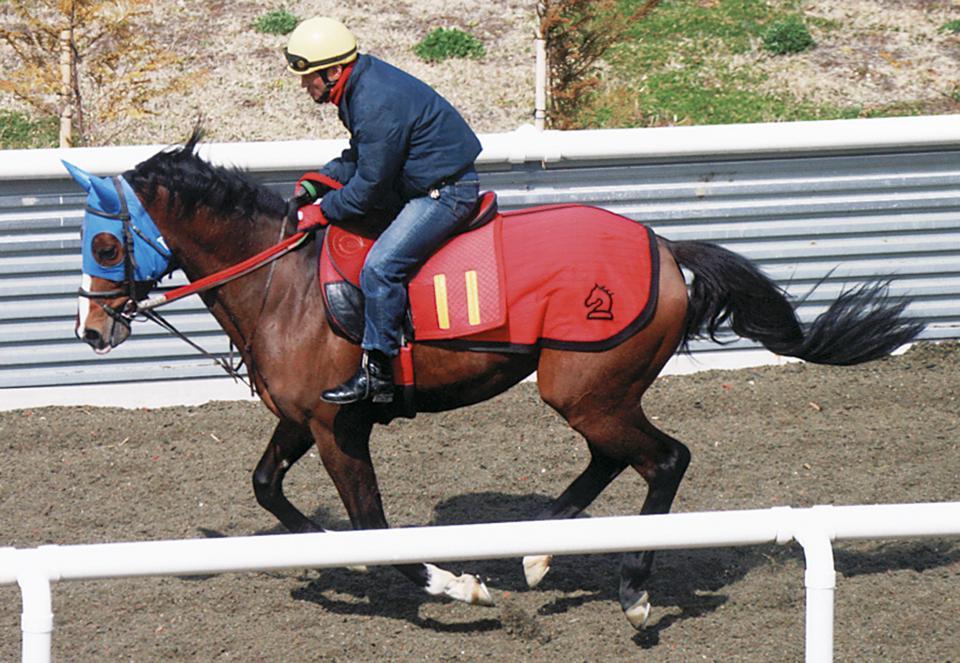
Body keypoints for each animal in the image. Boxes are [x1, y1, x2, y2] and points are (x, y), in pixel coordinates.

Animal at [66, 130, 924, 628]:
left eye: (105, 244)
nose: (90, 330)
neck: (284, 284)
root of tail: (664, 247)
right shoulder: (299, 418)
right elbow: (267, 487)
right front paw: (321, 549)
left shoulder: (340, 426)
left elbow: (376, 526)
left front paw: (457, 586)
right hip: (594, 389)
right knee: (617, 456)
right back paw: (539, 553)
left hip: (583, 385)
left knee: (665, 458)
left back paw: (634, 590)